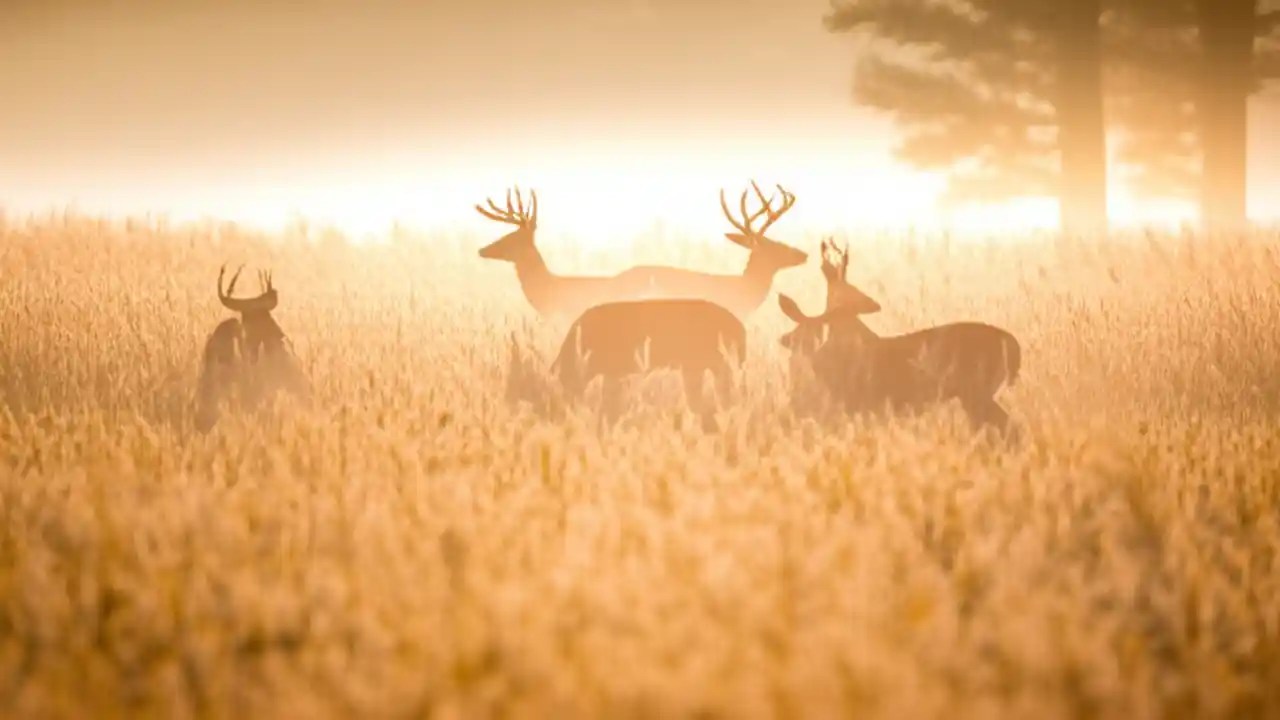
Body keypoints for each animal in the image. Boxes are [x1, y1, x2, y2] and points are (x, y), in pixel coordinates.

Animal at [550, 298, 746, 429]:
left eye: (564, 380)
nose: (566, 407)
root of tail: (736, 323)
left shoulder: (615, 375)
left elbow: (611, 407)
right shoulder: (614, 376)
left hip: (701, 368)